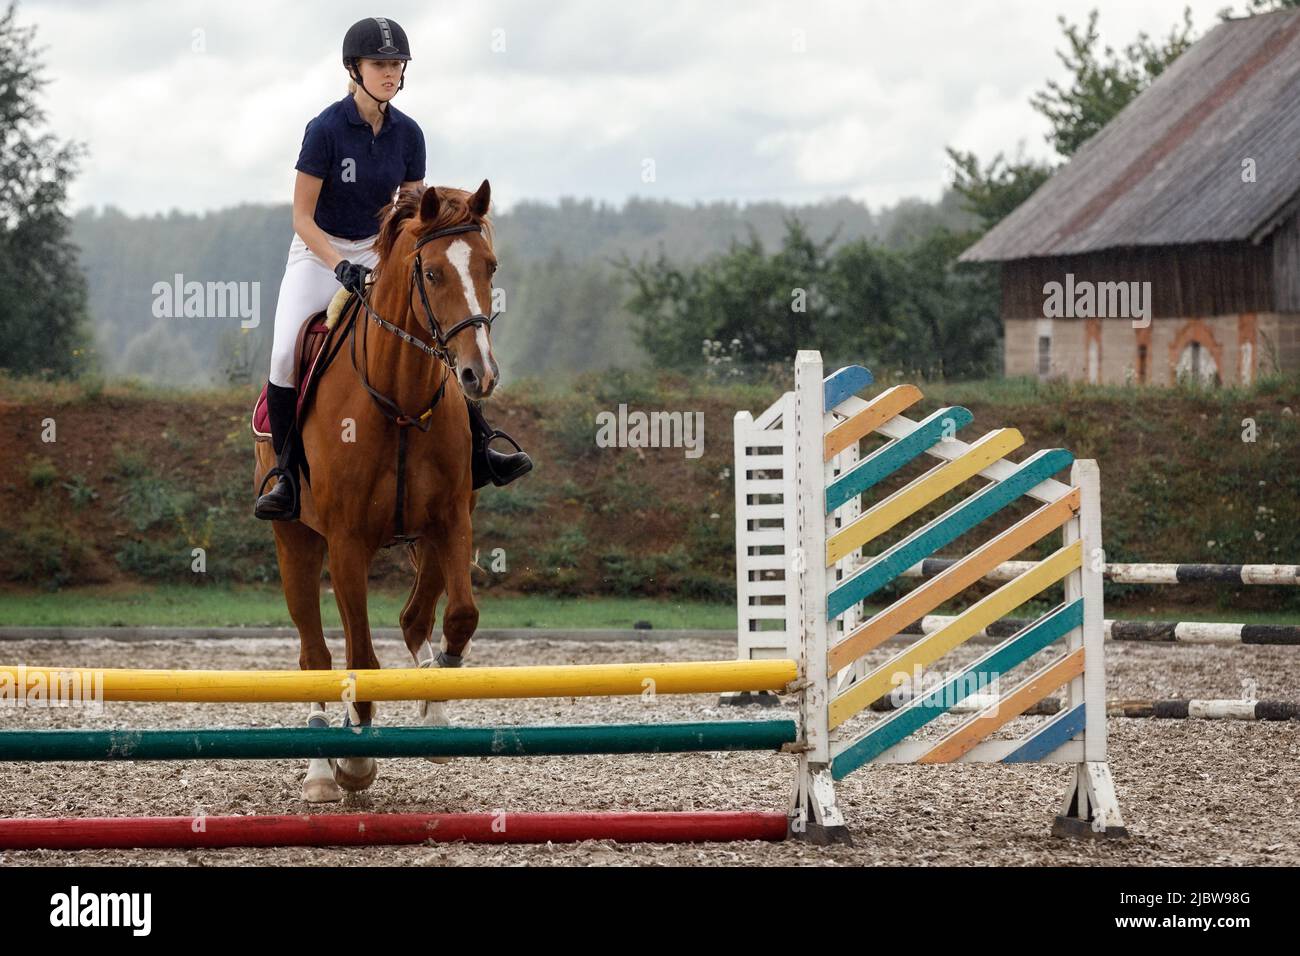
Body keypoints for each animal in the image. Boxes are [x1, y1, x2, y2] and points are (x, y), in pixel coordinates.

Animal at [252, 181, 499, 802]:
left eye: (489, 266)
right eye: (433, 273)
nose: (479, 375)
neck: (401, 398)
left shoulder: (452, 521)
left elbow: (459, 615)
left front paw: (436, 703)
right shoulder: (346, 544)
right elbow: (360, 653)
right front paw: (357, 761)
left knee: (414, 617)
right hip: (296, 542)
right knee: (315, 655)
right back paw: (323, 768)